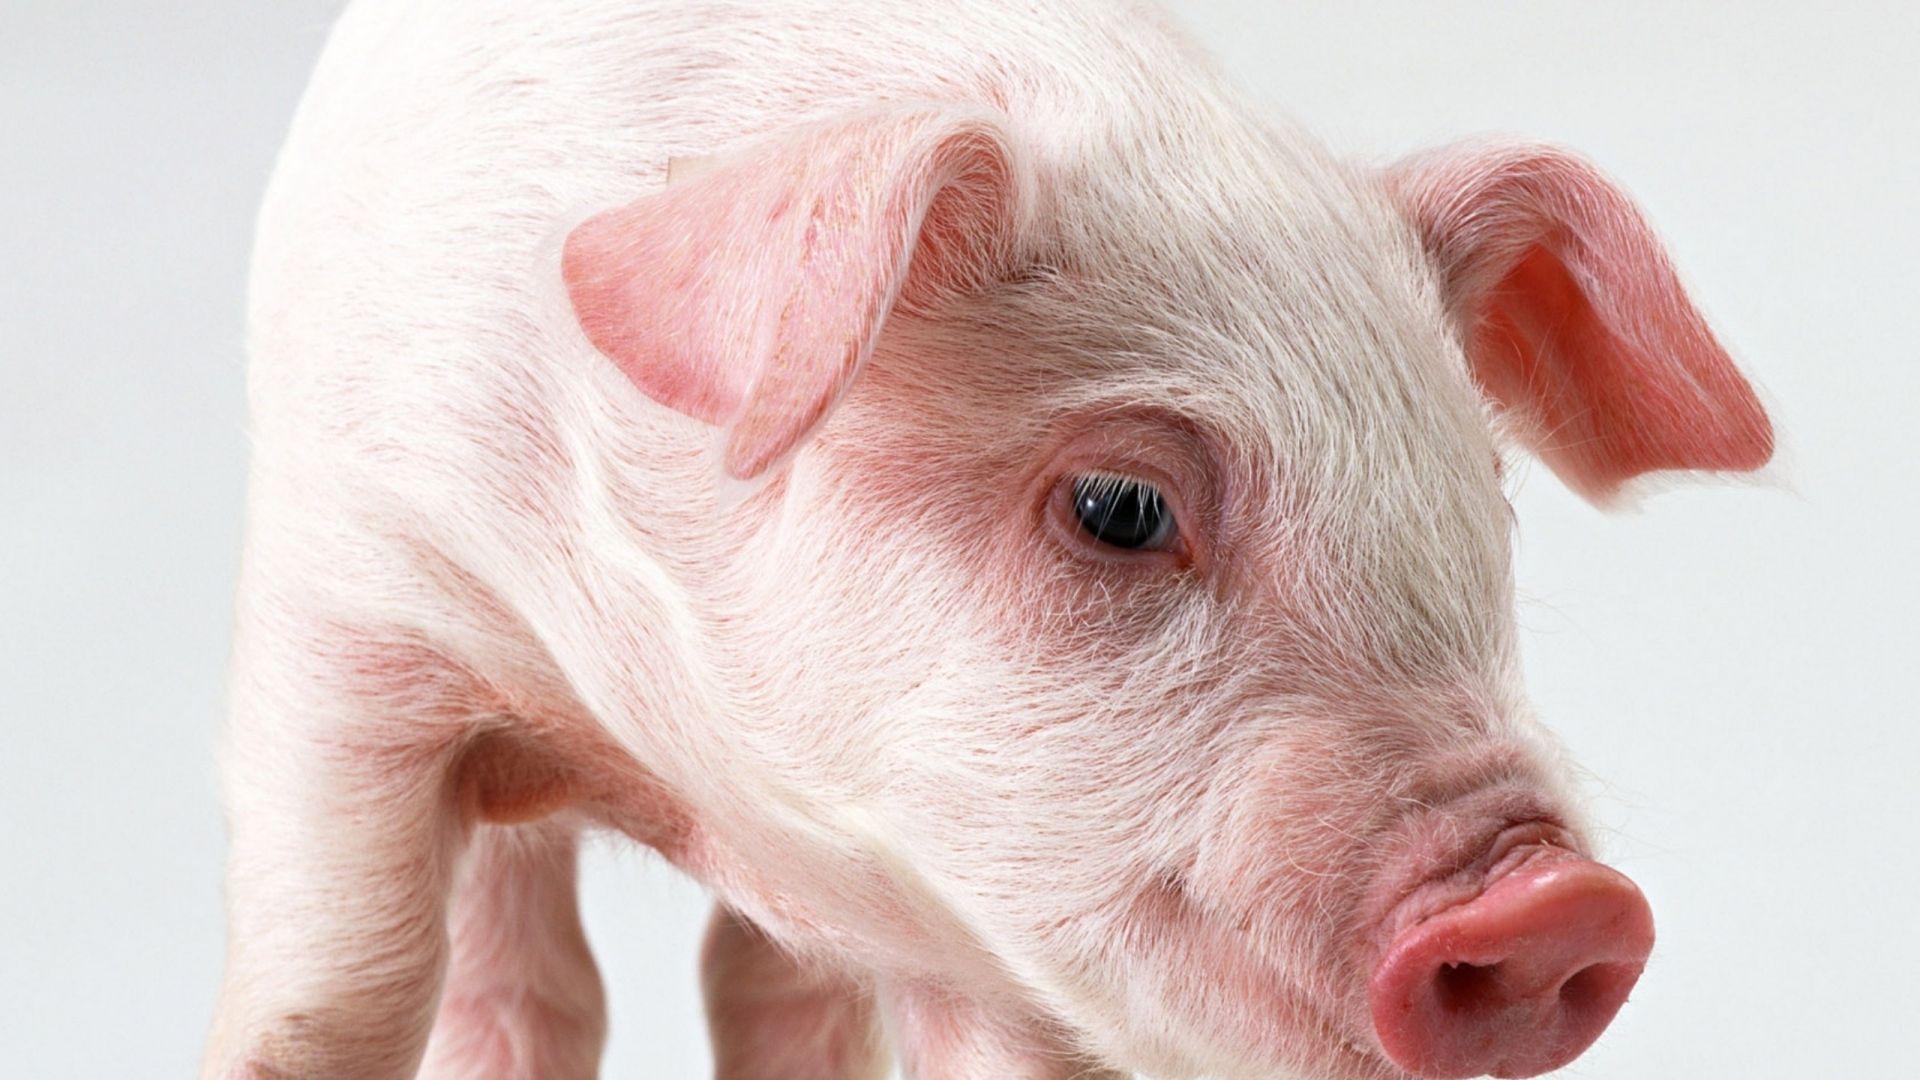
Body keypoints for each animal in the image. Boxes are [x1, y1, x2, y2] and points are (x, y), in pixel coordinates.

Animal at [205, 1, 1774, 1078]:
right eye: (1119, 506)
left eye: (1489, 492)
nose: (1564, 902)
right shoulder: (345, 609)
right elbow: (335, 996)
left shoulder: (981, 944)